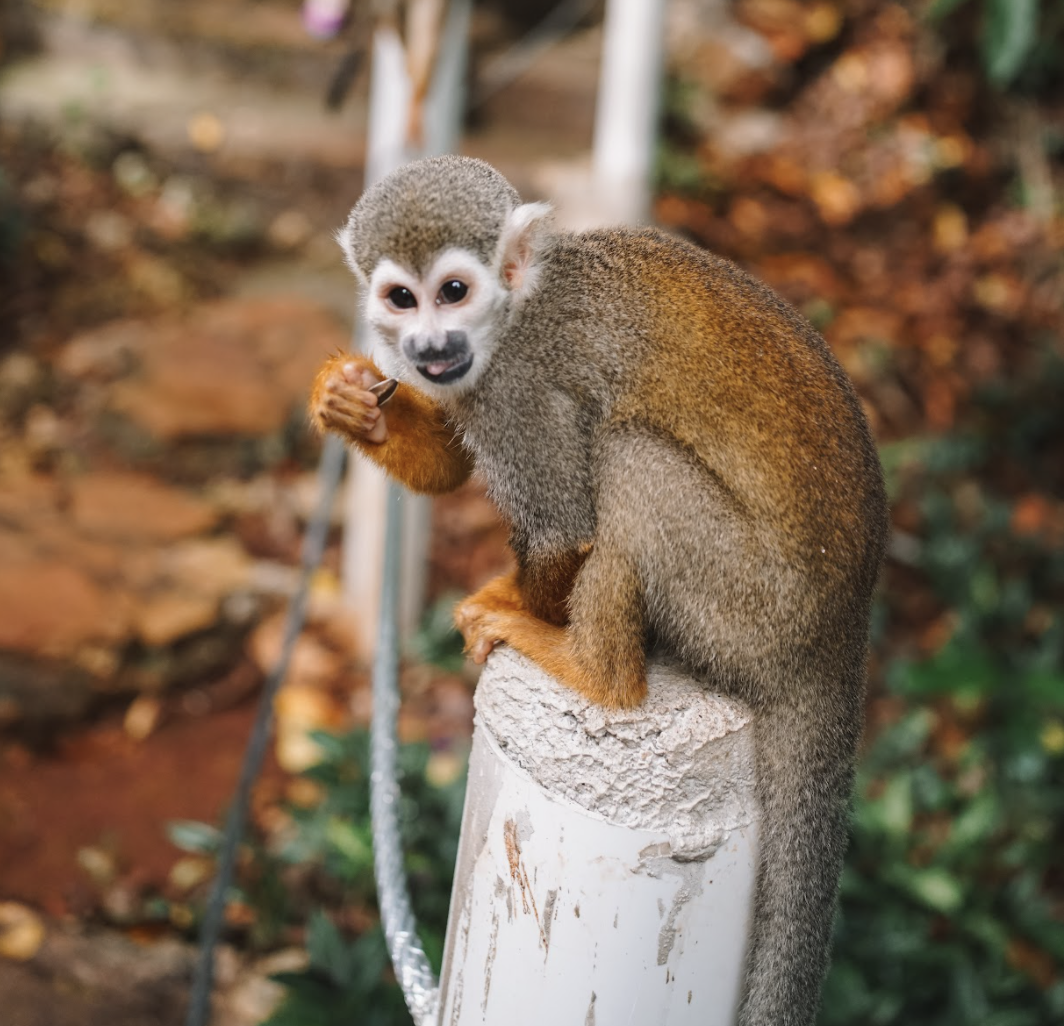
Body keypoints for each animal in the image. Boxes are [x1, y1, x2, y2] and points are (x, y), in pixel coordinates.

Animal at [308, 155, 888, 1026]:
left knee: (628, 456)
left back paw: (595, 669)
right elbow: (450, 462)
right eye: (401, 298)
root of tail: (841, 636)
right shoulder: (474, 383)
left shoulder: (520, 391)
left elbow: (564, 530)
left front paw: (520, 603)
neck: (514, 313)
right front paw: (347, 402)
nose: (431, 345)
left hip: (752, 604)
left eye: (454, 291)